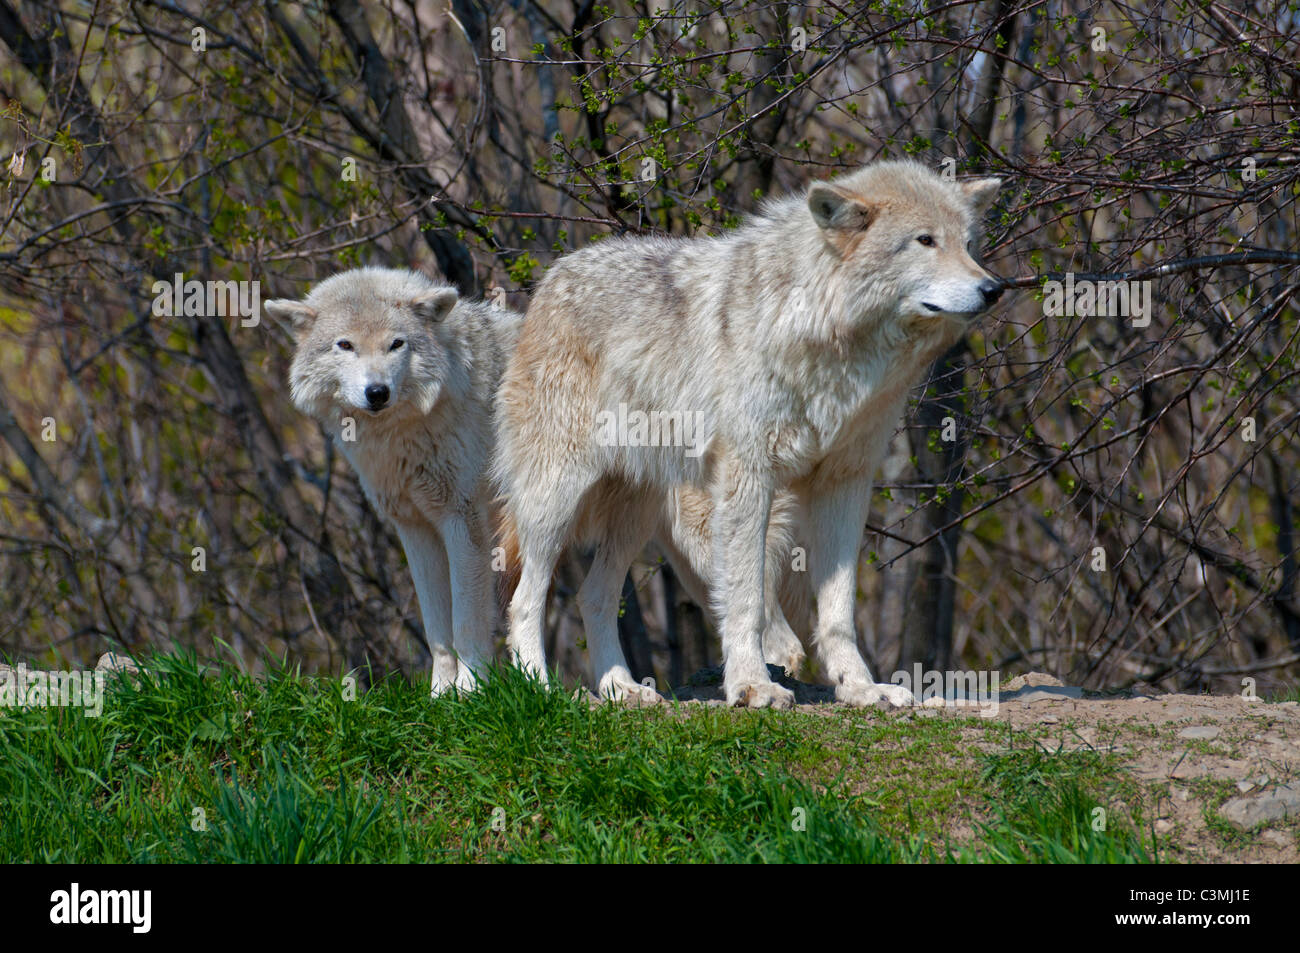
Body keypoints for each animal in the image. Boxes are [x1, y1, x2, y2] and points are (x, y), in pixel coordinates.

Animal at [266, 268, 521, 695]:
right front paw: (440, 695)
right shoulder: (414, 527)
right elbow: (437, 632)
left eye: (396, 344)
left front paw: (471, 693)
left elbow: (466, 625)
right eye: (345, 345)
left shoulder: (464, 521)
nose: (377, 392)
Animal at [495, 160, 1003, 708]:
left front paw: (861, 688)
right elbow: (745, 598)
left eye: (969, 244)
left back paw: (623, 690)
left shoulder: (845, 482)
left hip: (636, 514)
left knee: (594, 597)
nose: (994, 289)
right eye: (925, 240)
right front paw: (752, 686)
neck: (827, 337)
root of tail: (553, 277)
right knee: (526, 598)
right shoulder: (749, 474)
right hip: (558, 499)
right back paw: (539, 688)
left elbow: (838, 611)